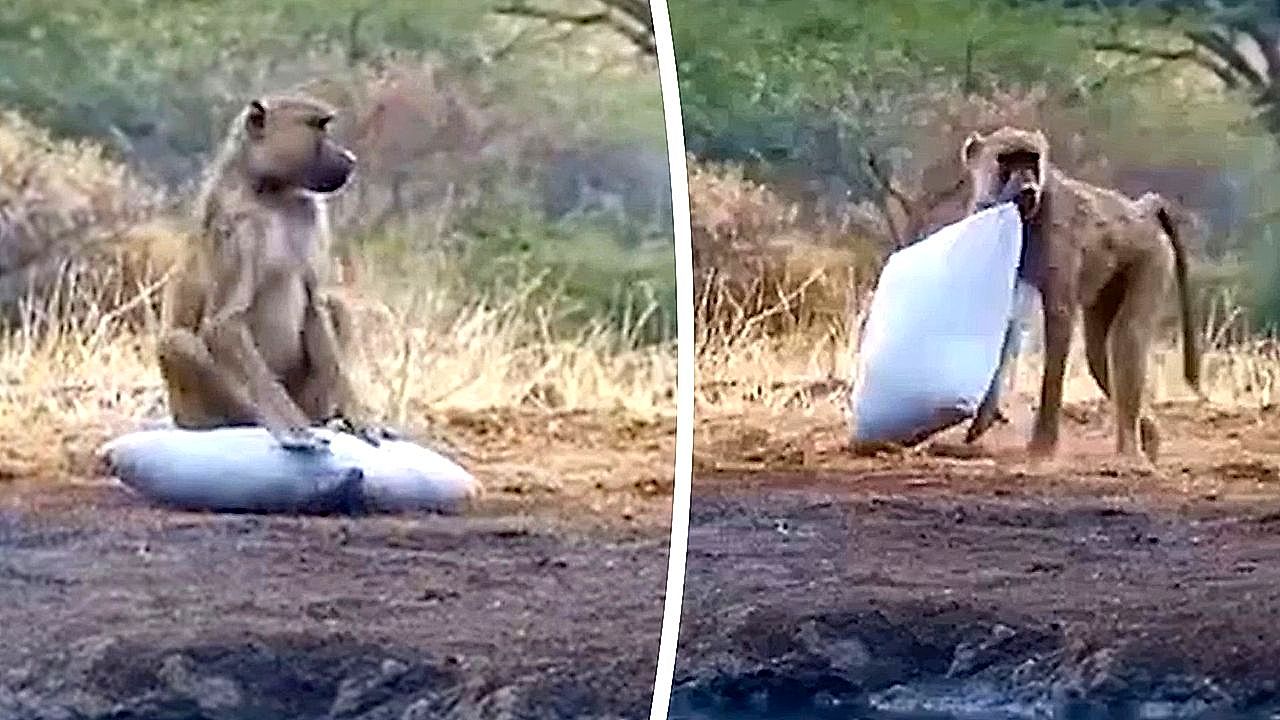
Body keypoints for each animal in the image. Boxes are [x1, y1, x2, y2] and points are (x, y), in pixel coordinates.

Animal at [156, 95, 393, 453]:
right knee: (179, 343)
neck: (270, 192)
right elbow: (224, 322)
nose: (350, 159)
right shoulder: (233, 225)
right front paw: (293, 429)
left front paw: (358, 417)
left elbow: (316, 305)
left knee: (337, 308)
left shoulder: (311, 212)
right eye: (318, 126)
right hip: (193, 413)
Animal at [956, 127, 1200, 464]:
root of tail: (1140, 210)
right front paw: (982, 418)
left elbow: (1058, 324)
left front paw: (1043, 448)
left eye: (1030, 160)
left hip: (1151, 257)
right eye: (1008, 160)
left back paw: (1130, 452)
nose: (1028, 188)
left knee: (1126, 338)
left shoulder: (1057, 231)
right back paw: (1148, 437)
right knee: (1098, 354)